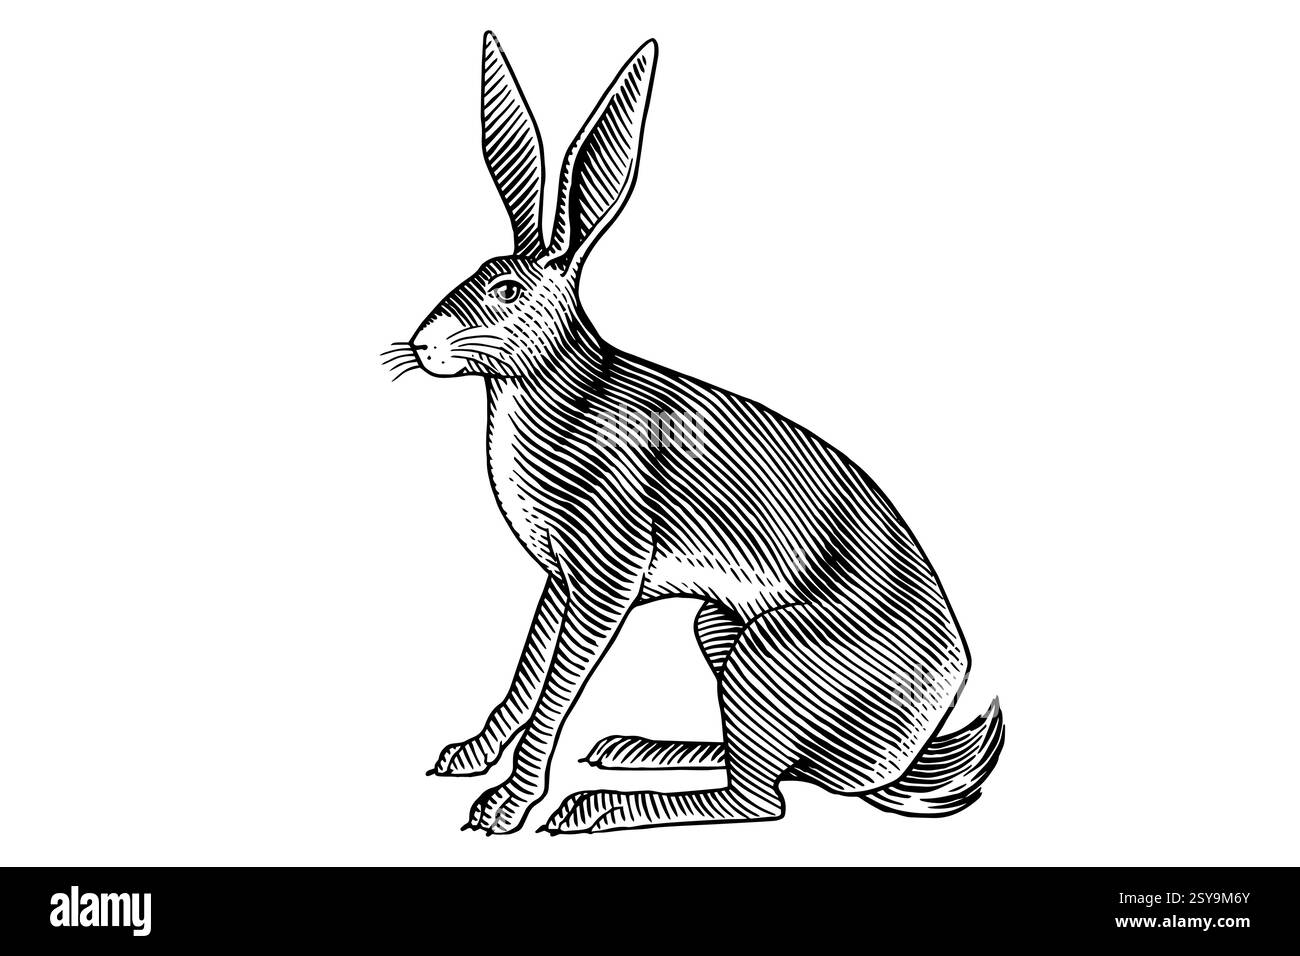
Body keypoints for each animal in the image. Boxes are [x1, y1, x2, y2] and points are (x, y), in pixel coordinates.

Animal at [386, 32, 1005, 835]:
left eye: (509, 290)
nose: (422, 344)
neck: (563, 386)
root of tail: (912, 753)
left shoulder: (605, 575)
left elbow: (557, 690)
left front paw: (503, 809)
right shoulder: (557, 579)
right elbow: (526, 675)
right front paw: (467, 757)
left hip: (768, 666)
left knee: (761, 800)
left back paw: (592, 807)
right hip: (716, 630)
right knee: (766, 773)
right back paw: (629, 749)